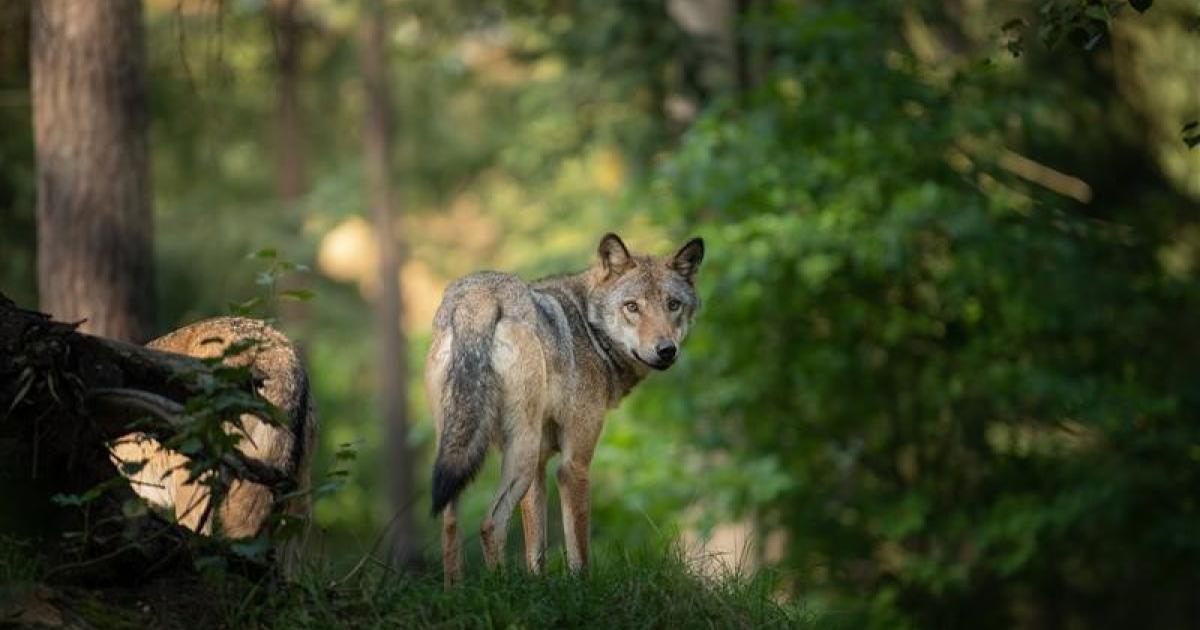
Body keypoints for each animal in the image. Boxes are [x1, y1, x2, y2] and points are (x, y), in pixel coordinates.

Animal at [426, 232, 705, 584]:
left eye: (673, 305)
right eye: (632, 307)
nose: (666, 350)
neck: (590, 329)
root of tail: (479, 296)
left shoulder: (541, 466)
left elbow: (537, 551)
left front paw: (537, 586)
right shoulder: (573, 465)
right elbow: (579, 551)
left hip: (463, 452)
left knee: (450, 524)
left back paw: (456, 591)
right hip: (521, 454)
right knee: (490, 524)